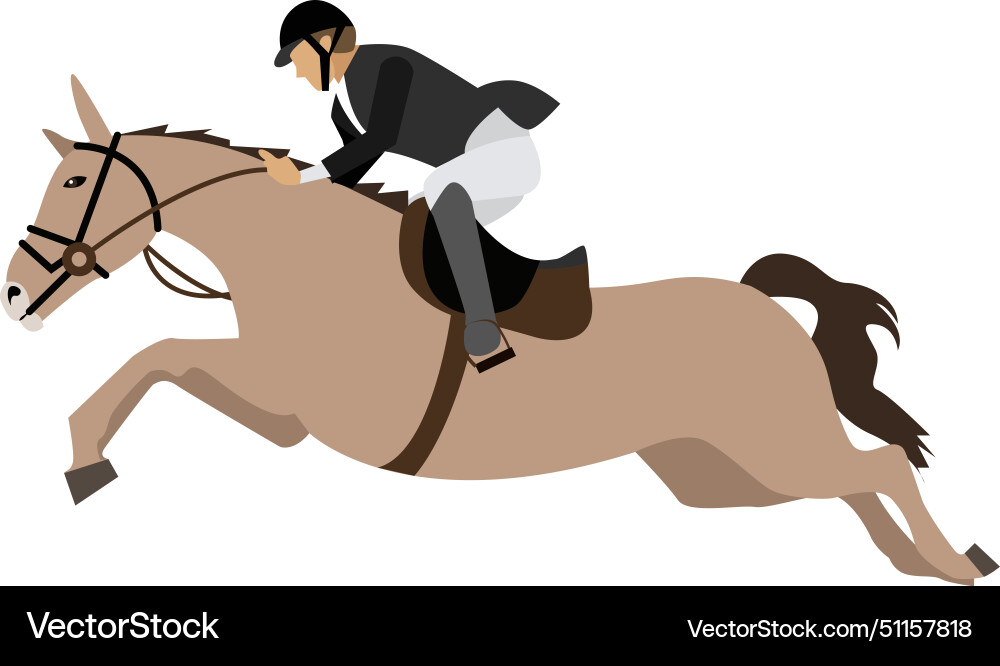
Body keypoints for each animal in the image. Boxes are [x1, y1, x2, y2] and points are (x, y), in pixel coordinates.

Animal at [3, 76, 995, 585]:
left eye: (70, 184)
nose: (14, 293)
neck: (301, 261)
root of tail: (764, 306)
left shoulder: (293, 403)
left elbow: (156, 356)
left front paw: (85, 461)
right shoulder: (282, 411)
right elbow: (158, 361)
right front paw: (85, 459)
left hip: (774, 450)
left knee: (880, 466)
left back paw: (952, 562)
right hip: (721, 479)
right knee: (855, 485)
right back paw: (916, 561)